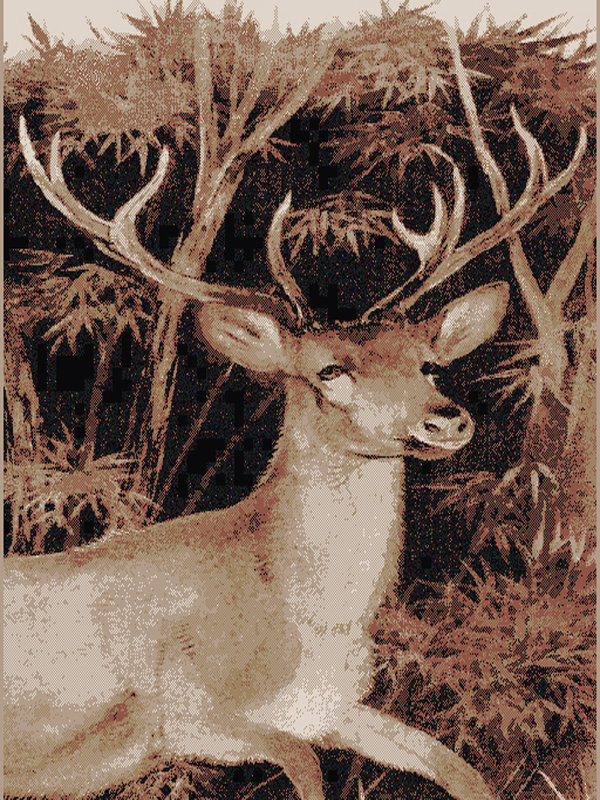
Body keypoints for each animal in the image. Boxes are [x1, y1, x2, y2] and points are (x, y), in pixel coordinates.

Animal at [4, 113, 585, 800]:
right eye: (330, 370)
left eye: (428, 363)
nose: (447, 417)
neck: (307, 623)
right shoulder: (177, 709)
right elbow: (304, 764)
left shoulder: (333, 707)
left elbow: (455, 765)